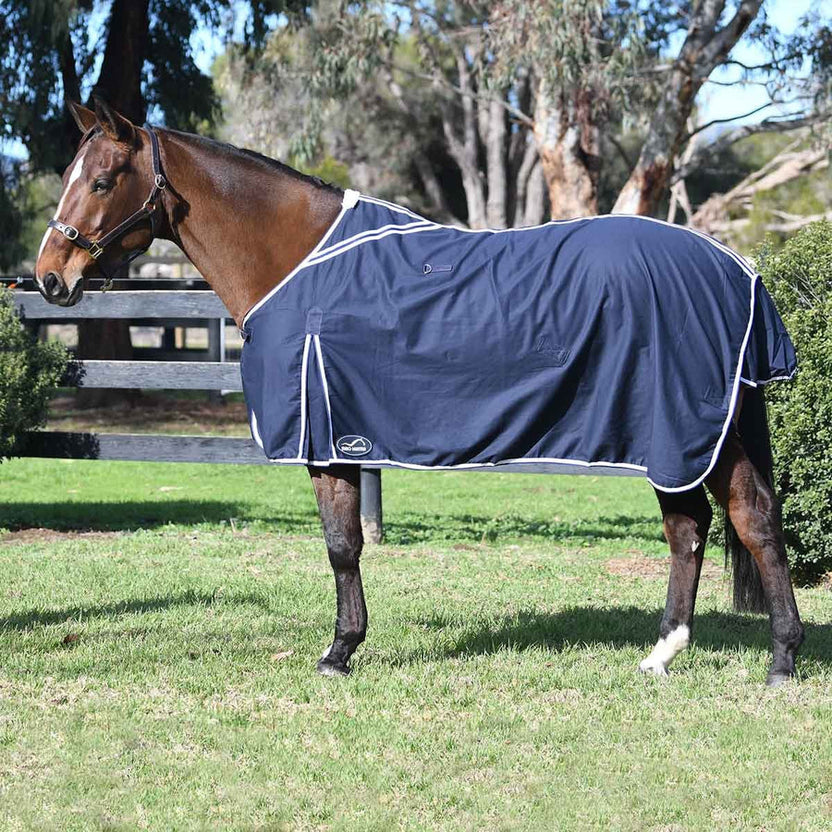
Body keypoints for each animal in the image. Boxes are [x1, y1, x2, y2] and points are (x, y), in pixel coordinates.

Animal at [34, 99, 804, 686]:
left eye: (102, 181)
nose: (49, 276)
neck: (300, 265)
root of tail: (737, 269)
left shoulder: (327, 438)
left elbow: (341, 546)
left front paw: (338, 653)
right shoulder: (344, 437)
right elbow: (345, 544)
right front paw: (345, 647)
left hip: (690, 433)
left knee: (748, 523)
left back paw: (781, 662)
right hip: (676, 437)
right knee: (696, 530)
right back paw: (665, 653)